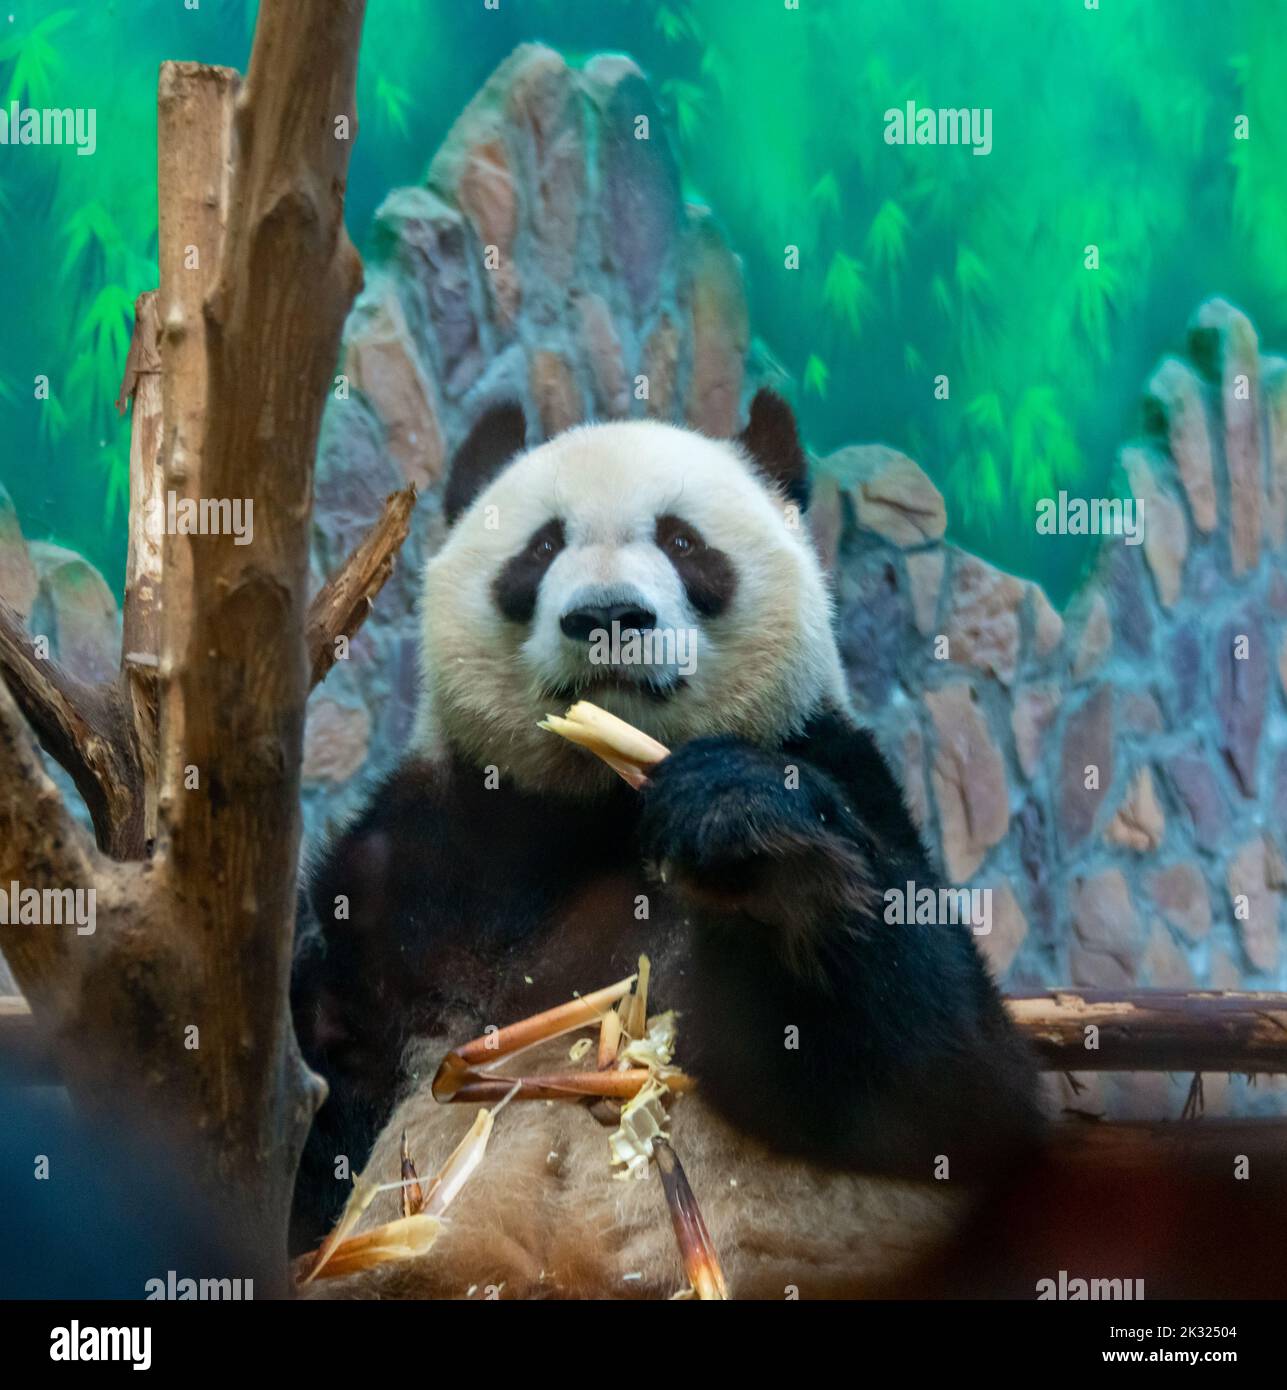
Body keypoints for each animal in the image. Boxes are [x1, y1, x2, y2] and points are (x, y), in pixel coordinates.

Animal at [290, 390, 1045, 1298]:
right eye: (541, 547)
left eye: (683, 542)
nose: (607, 615)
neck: (600, 809)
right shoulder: (408, 876)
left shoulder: (841, 771)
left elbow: (952, 1086)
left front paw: (742, 828)